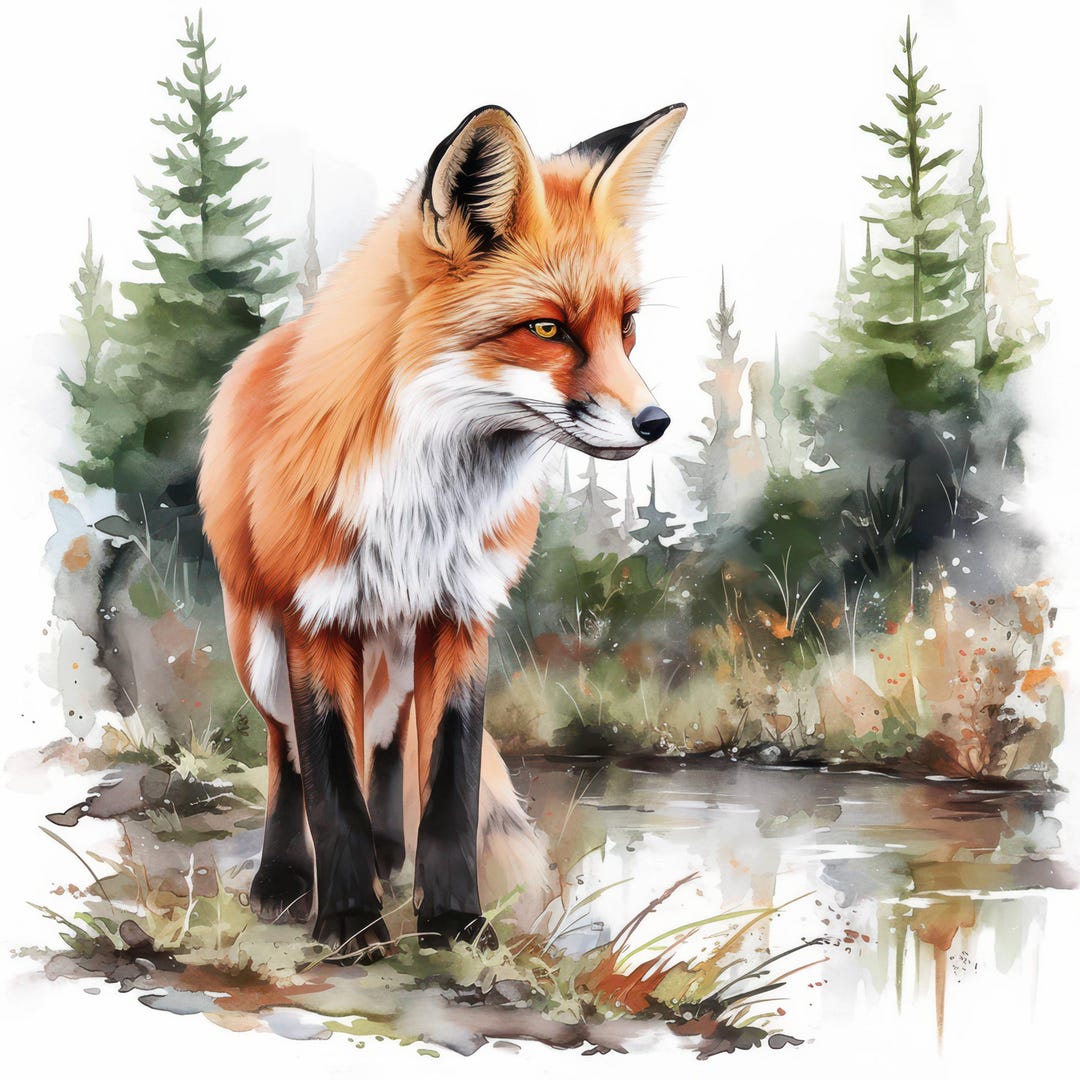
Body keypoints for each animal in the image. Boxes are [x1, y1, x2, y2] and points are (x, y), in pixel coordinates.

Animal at [198, 102, 685, 961]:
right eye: (548, 330)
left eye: (625, 326)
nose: (655, 422)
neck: (425, 505)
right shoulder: (316, 619)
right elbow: (330, 787)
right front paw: (349, 925)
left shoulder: (464, 614)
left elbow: (449, 785)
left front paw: (455, 924)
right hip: (259, 646)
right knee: (285, 756)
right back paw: (285, 880)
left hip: (395, 650)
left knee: (392, 746)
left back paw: (391, 858)